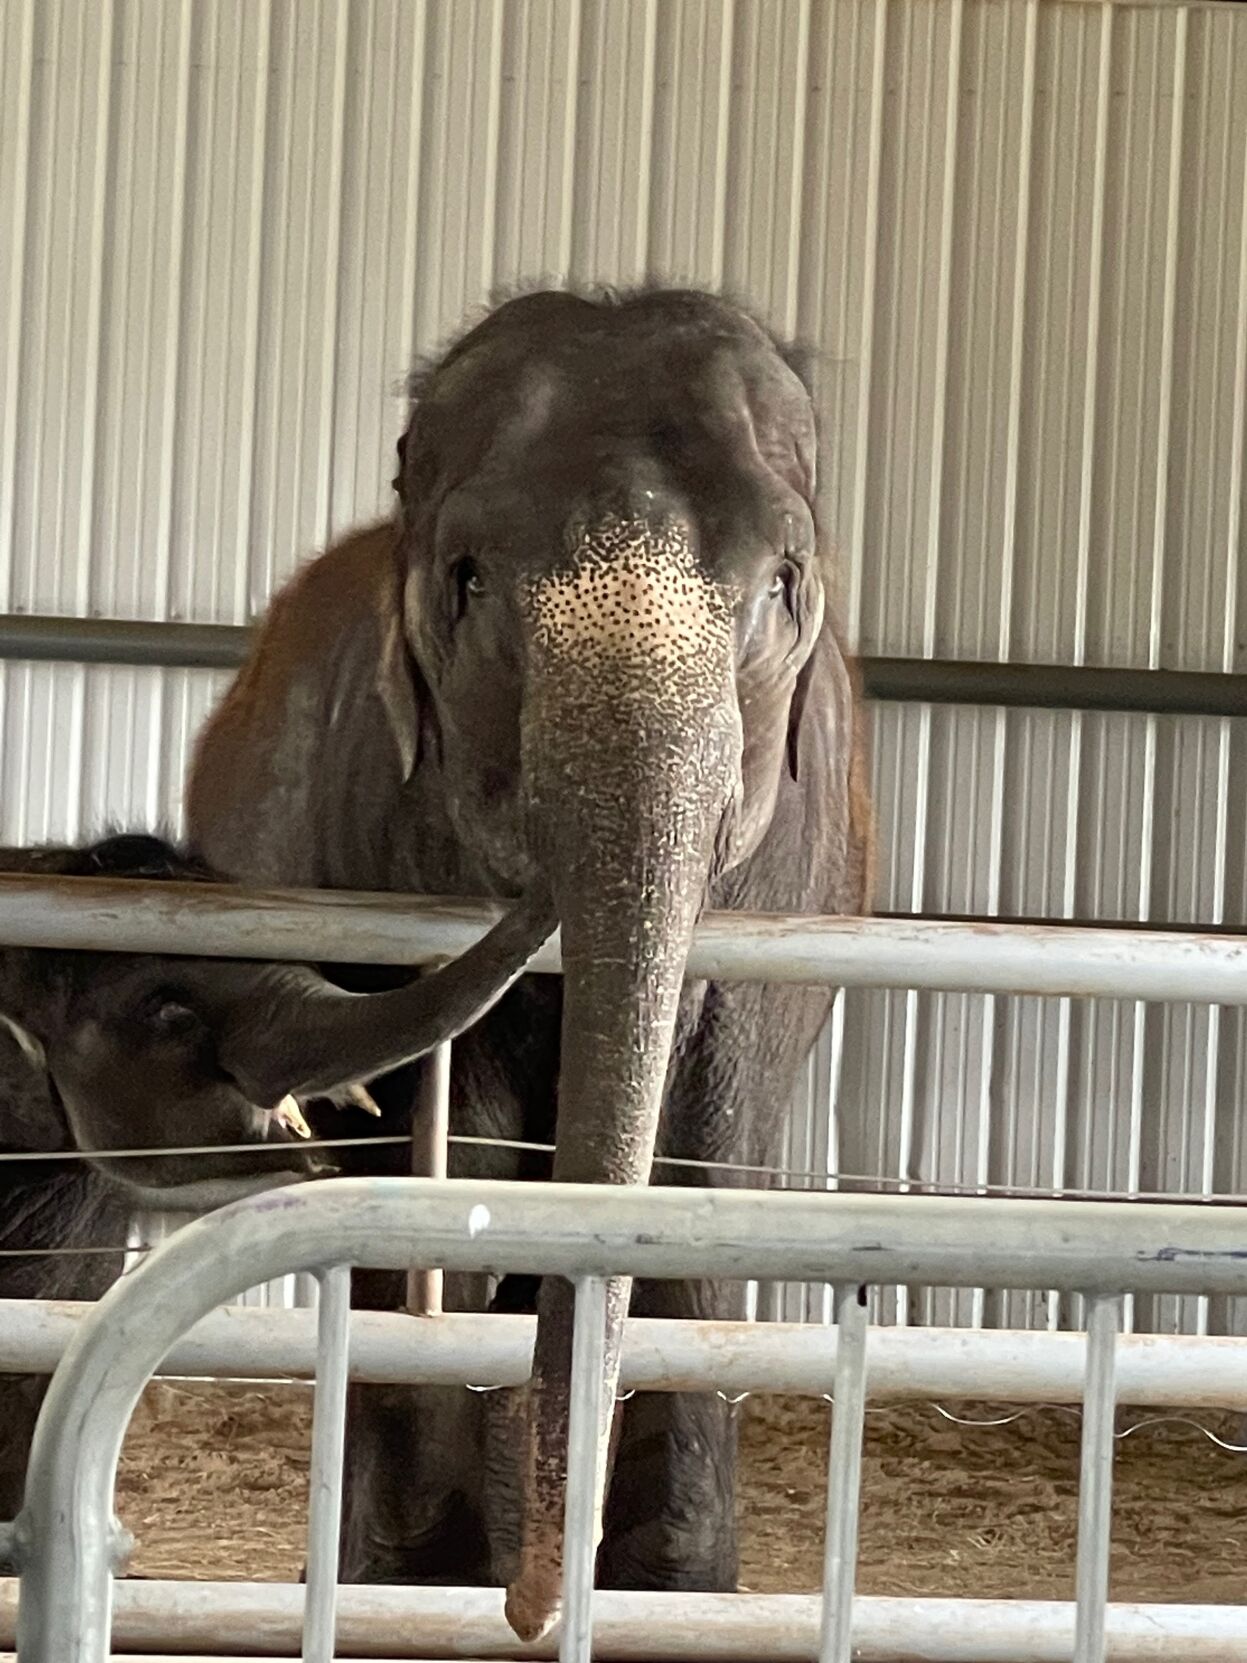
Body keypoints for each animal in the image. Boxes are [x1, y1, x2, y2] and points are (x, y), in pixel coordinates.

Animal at [186, 284, 873, 1638]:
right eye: (466, 578)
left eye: (783, 579)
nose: (531, 1607)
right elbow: (462, 1177)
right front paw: (427, 1578)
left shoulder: (788, 896)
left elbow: (702, 1187)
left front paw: (678, 1589)